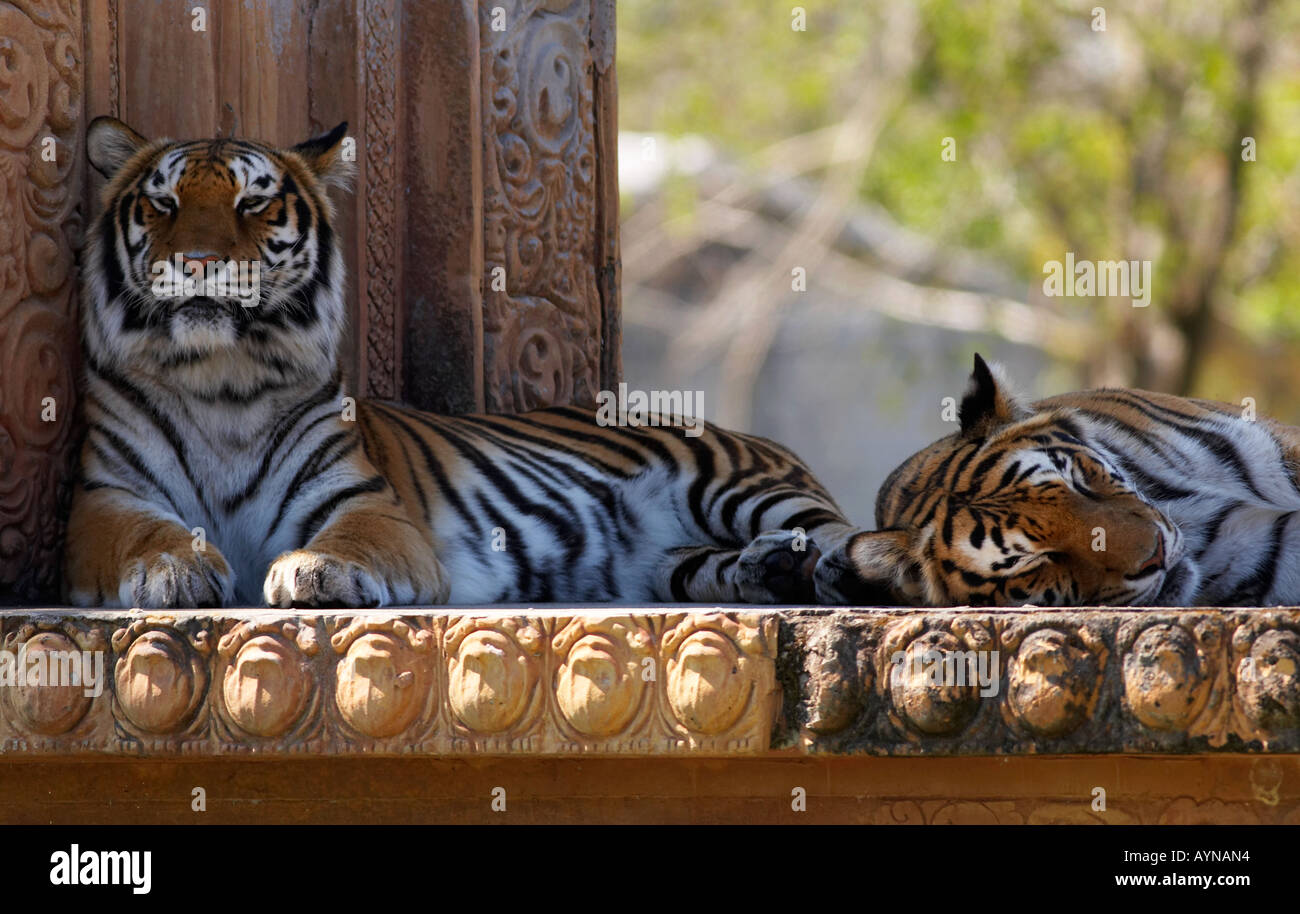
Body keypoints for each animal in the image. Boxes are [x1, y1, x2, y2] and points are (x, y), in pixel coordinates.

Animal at [65, 116, 895, 609]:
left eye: (253, 204)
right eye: (164, 204)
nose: (200, 264)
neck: (221, 378)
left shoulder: (364, 502)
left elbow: (346, 540)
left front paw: (314, 571)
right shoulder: (105, 499)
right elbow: (146, 535)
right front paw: (174, 569)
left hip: (736, 483)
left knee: (839, 531)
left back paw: (841, 570)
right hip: (672, 562)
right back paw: (767, 571)